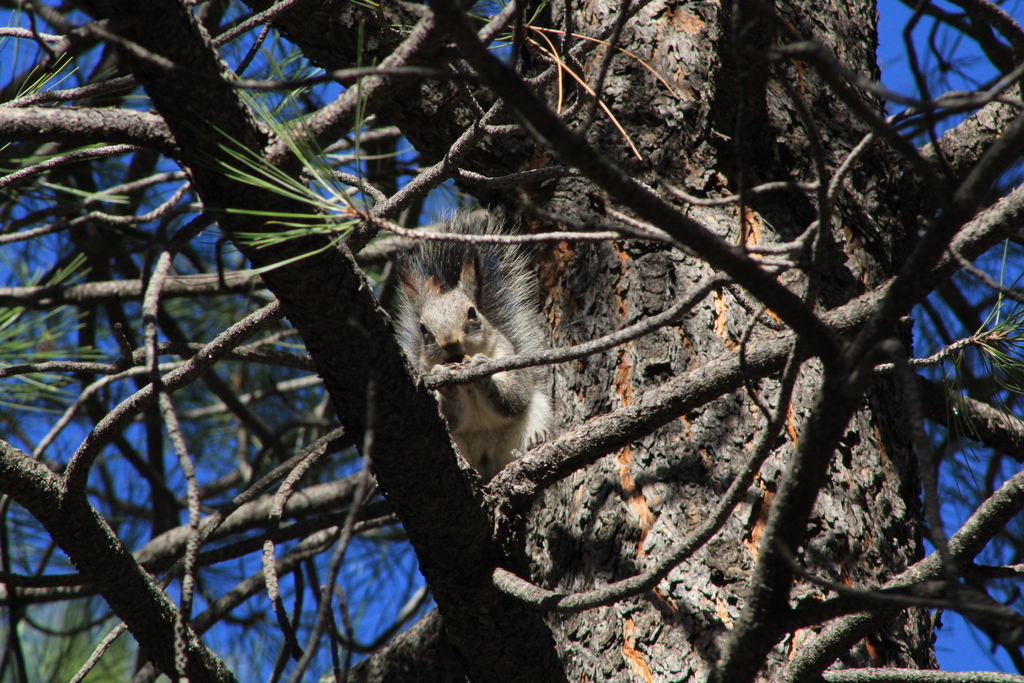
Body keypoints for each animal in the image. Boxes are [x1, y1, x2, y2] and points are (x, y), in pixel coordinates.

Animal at [395, 210, 554, 481]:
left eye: (472, 312)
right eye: (423, 328)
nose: (449, 342)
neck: (466, 385)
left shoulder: (506, 356)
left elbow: (514, 397)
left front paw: (483, 372)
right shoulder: (425, 380)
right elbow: (449, 418)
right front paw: (446, 384)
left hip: (537, 412)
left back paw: (534, 441)